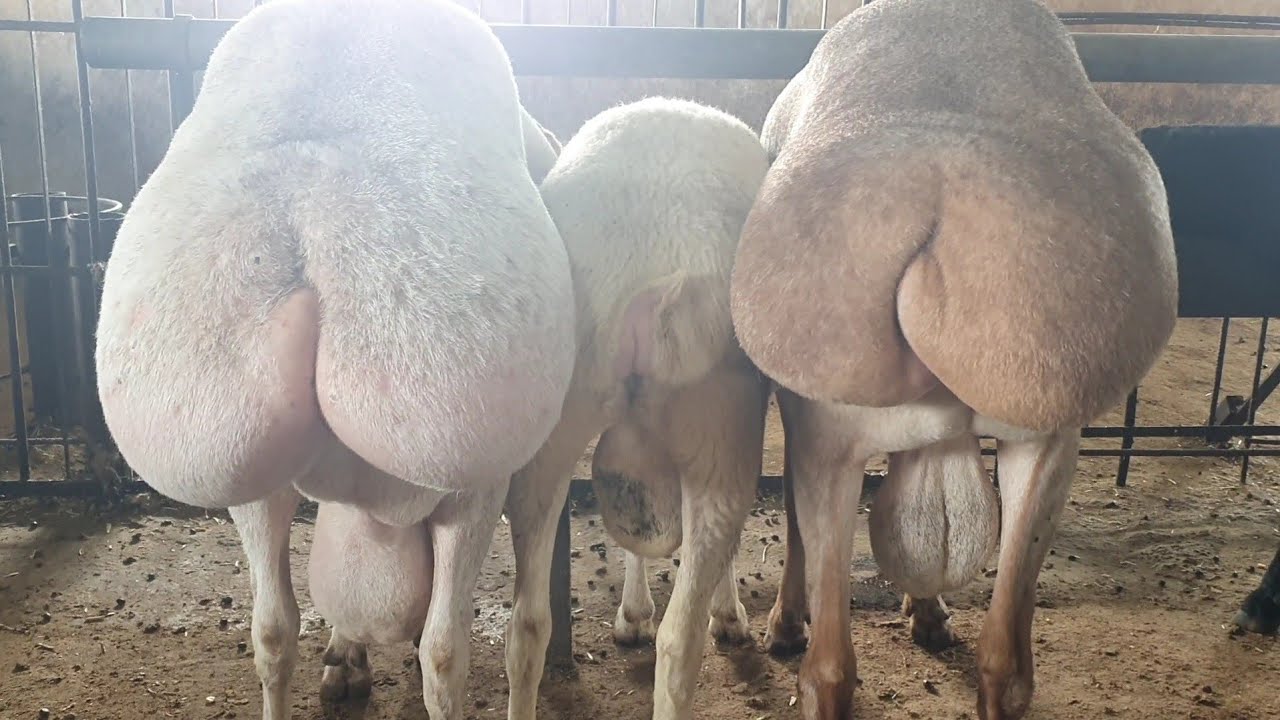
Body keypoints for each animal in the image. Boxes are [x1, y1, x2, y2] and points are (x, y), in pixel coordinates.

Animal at [501, 96, 771, 720]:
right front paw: (725, 614)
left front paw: (630, 615)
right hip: (722, 423)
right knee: (680, 641)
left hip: (553, 423)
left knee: (527, 625)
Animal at [729, 1, 1179, 718]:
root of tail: (939, 187)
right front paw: (927, 612)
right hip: (1045, 431)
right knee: (1004, 663)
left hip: (832, 428)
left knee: (828, 666)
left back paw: (795, 627)